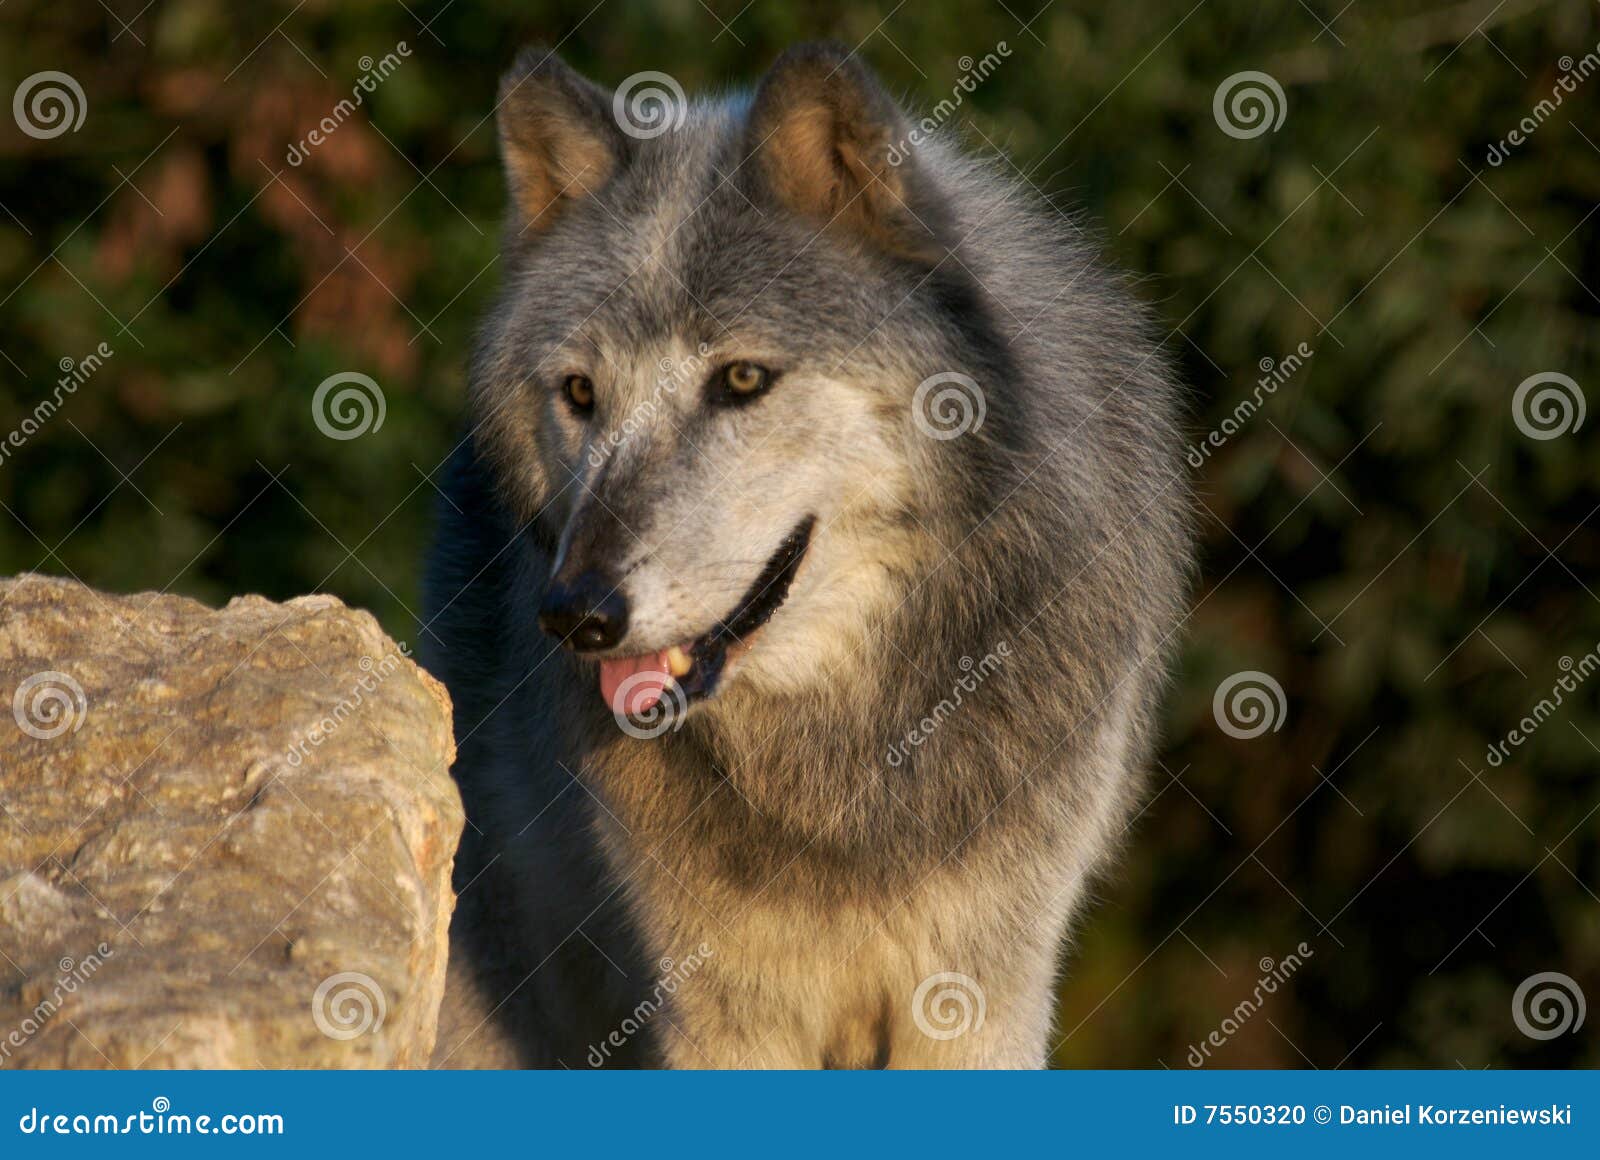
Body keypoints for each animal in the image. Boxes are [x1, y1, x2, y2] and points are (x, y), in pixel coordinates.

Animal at [422, 41, 1192, 1069]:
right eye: (581, 393)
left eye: (743, 378)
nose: (577, 615)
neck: (839, 760)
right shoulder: (716, 1014)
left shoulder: (981, 1002)